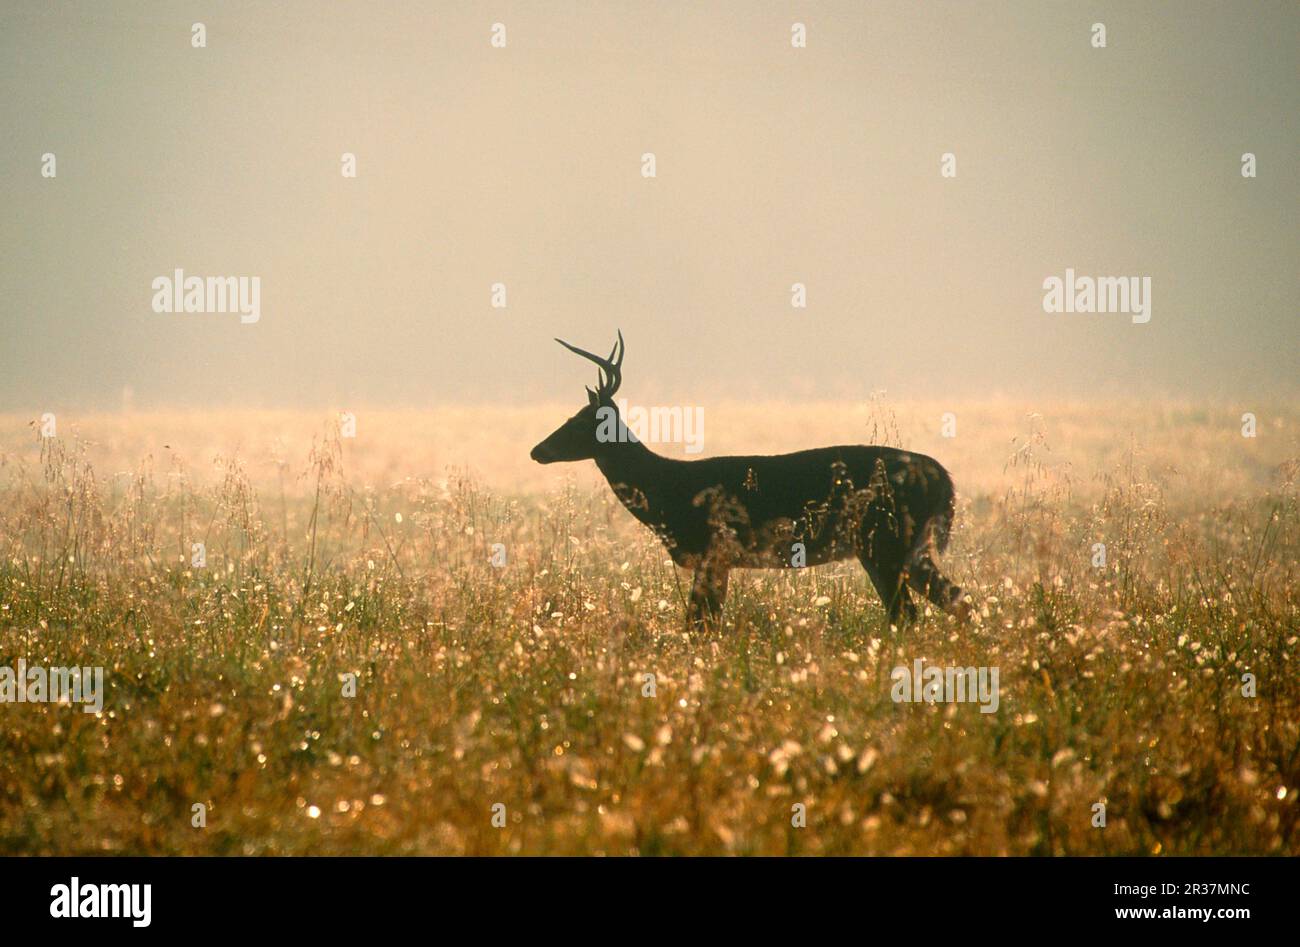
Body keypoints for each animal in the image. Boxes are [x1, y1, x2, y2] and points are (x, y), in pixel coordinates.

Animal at [530, 332, 969, 629]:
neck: (667, 489)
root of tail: (941, 476)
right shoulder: (719, 558)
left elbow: (698, 625)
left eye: (579, 420)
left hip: (886, 539)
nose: (537, 450)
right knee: (951, 600)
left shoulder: (714, 549)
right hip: (900, 547)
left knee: (909, 613)